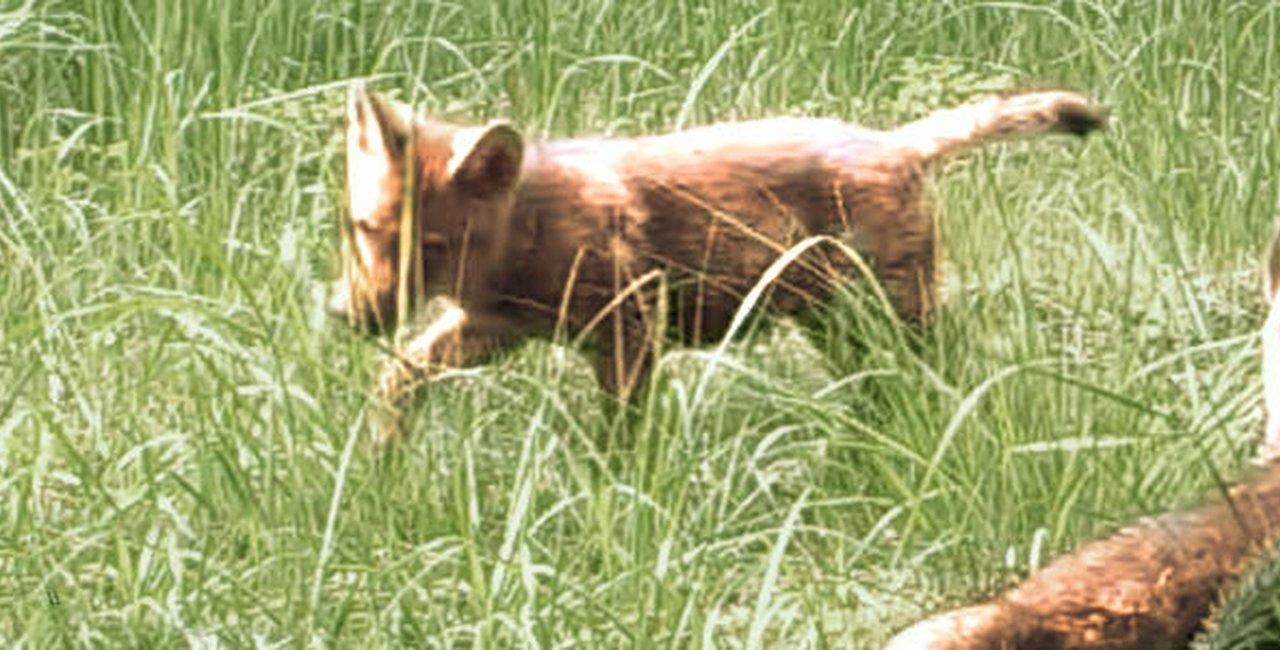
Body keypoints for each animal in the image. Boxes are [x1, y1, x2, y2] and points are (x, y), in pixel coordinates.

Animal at [332, 88, 1105, 439]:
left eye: (430, 249)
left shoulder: (628, 329)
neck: (526, 240)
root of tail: (894, 143)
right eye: (364, 230)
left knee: (950, 375)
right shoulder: (493, 328)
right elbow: (398, 376)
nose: (349, 316)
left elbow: (620, 437)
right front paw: (381, 453)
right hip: (837, 326)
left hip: (898, 317)